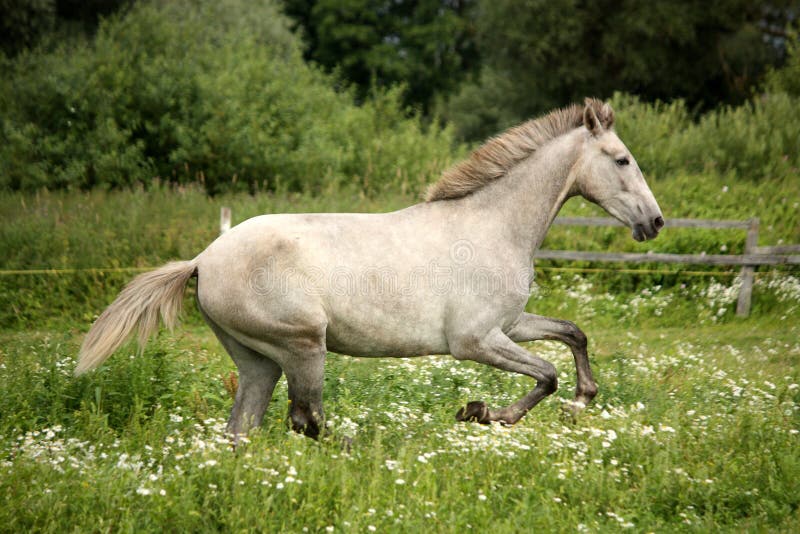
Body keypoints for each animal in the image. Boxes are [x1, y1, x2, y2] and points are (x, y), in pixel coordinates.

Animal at [75, 98, 664, 439]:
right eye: (622, 160)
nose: (655, 222)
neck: (490, 224)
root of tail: (203, 259)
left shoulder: (510, 325)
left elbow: (573, 335)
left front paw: (582, 400)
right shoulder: (473, 341)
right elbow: (547, 374)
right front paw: (483, 413)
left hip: (258, 361)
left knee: (243, 428)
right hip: (303, 346)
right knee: (306, 421)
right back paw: (360, 447)